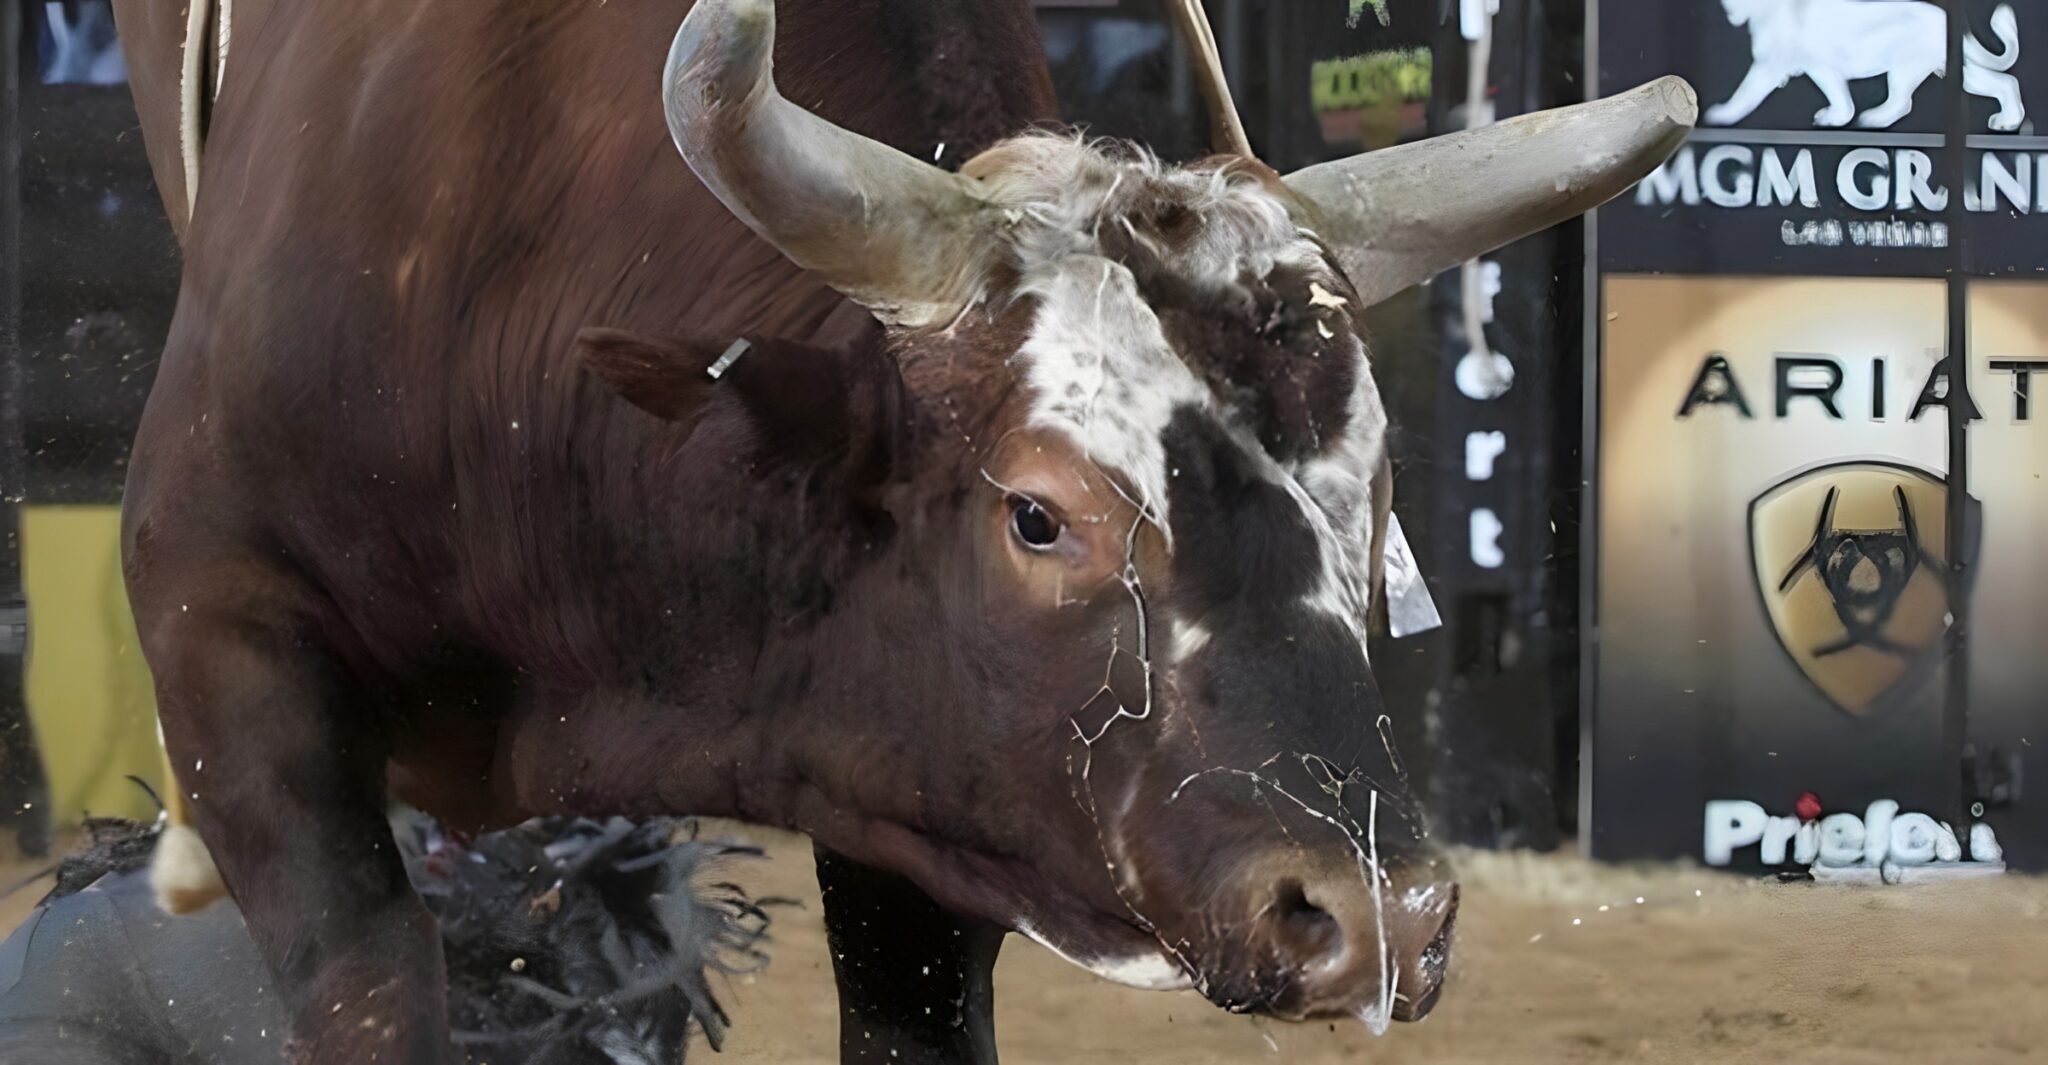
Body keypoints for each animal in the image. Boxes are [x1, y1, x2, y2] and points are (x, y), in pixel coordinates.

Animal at [106, 0, 1693, 1060]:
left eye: (1373, 497)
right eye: (1037, 515)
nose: (1373, 916)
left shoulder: (911, 779)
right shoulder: (221, 632)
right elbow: (374, 974)